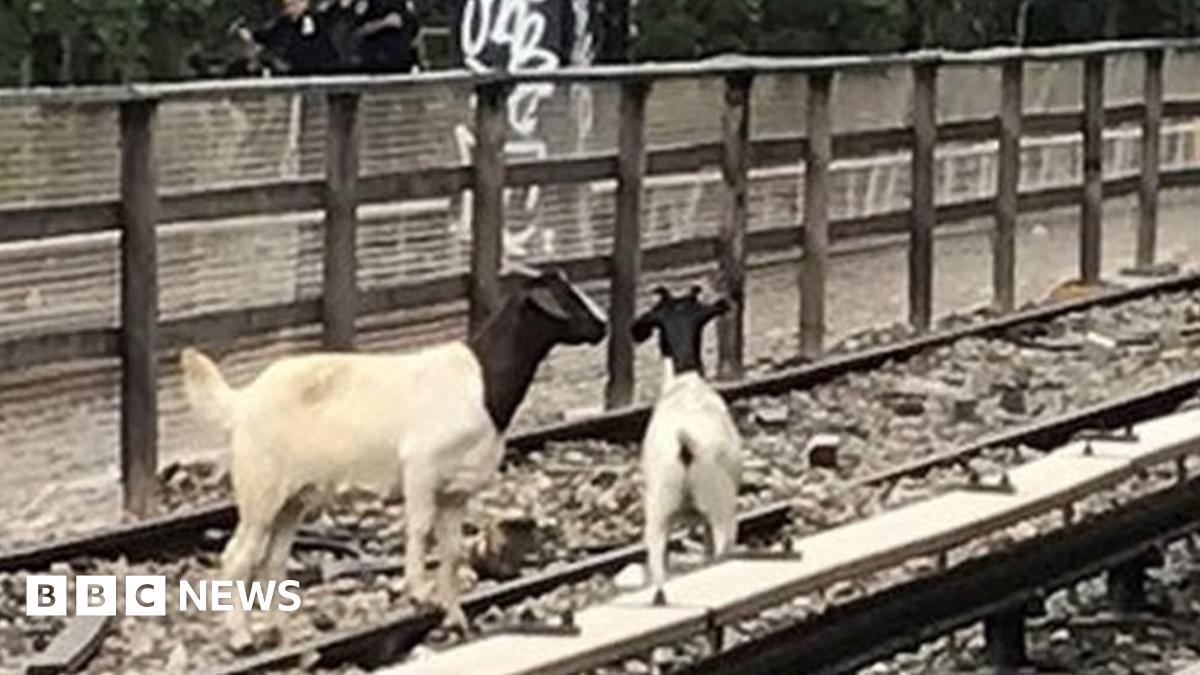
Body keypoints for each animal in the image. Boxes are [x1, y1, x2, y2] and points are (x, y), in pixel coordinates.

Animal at [181, 269, 607, 636]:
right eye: (566, 299)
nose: (602, 328)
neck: (482, 383)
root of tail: (242, 401)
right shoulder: (421, 467)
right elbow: (418, 529)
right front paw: (418, 594)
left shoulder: (456, 490)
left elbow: (453, 553)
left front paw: (456, 619)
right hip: (261, 490)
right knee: (237, 558)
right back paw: (242, 638)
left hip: (293, 499)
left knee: (273, 561)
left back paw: (279, 634)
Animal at [632, 286, 741, 606]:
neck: (685, 382)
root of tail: (684, 445)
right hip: (721, 512)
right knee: (719, 556)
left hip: (658, 515)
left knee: (659, 570)